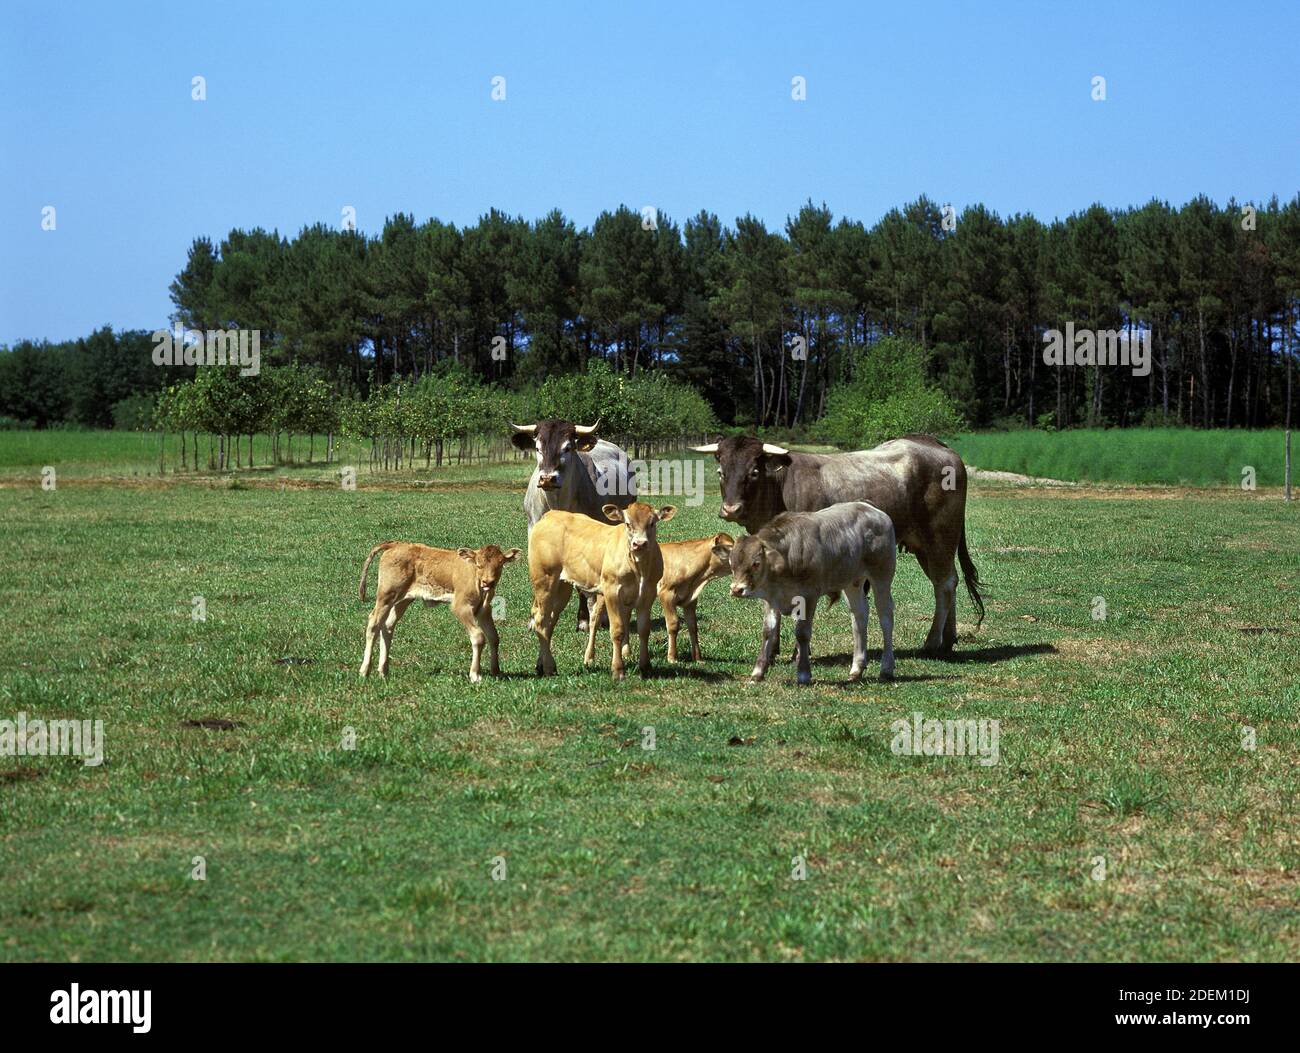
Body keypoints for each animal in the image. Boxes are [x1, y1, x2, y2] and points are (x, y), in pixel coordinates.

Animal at [358, 541, 520, 682]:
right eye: (479, 564)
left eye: (500, 565)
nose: (488, 582)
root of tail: (395, 544)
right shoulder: (461, 606)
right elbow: (478, 637)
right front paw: (475, 674)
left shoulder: (484, 610)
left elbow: (494, 637)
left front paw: (496, 671)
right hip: (386, 594)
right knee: (374, 623)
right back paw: (365, 670)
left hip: (403, 599)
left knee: (387, 626)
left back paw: (383, 670)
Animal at [528, 502, 676, 680]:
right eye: (627, 524)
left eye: (652, 523)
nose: (639, 544)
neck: (638, 567)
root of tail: (550, 515)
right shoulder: (612, 592)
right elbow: (617, 630)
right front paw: (618, 670)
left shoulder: (648, 593)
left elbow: (644, 629)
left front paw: (646, 667)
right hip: (544, 581)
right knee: (541, 622)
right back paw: (550, 667)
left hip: (562, 588)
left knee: (549, 623)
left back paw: (541, 665)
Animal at [584, 532, 736, 665]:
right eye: (729, 547)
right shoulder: (666, 594)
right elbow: (673, 624)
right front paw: (672, 657)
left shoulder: (690, 600)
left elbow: (693, 627)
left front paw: (698, 659)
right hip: (605, 595)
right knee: (595, 620)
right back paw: (589, 657)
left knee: (625, 618)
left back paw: (627, 653)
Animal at [691, 434, 983, 653]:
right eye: (721, 471)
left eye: (753, 472)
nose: (731, 509)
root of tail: (939, 447)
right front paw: (771, 651)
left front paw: (798, 651)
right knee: (945, 582)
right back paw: (948, 639)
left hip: (940, 538)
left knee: (945, 584)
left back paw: (933, 642)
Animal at [722, 502, 896, 684]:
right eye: (731, 563)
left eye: (756, 563)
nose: (736, 589)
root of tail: (872, 509)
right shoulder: (771, 599)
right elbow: (768, 632)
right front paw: (758, 672)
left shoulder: (809, 595)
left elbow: (802, 633)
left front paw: (803, 673)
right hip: (852, 582)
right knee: (859, 616)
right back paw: (856, 669)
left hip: (882, 576)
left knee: (886, 618)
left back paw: (886, 668)